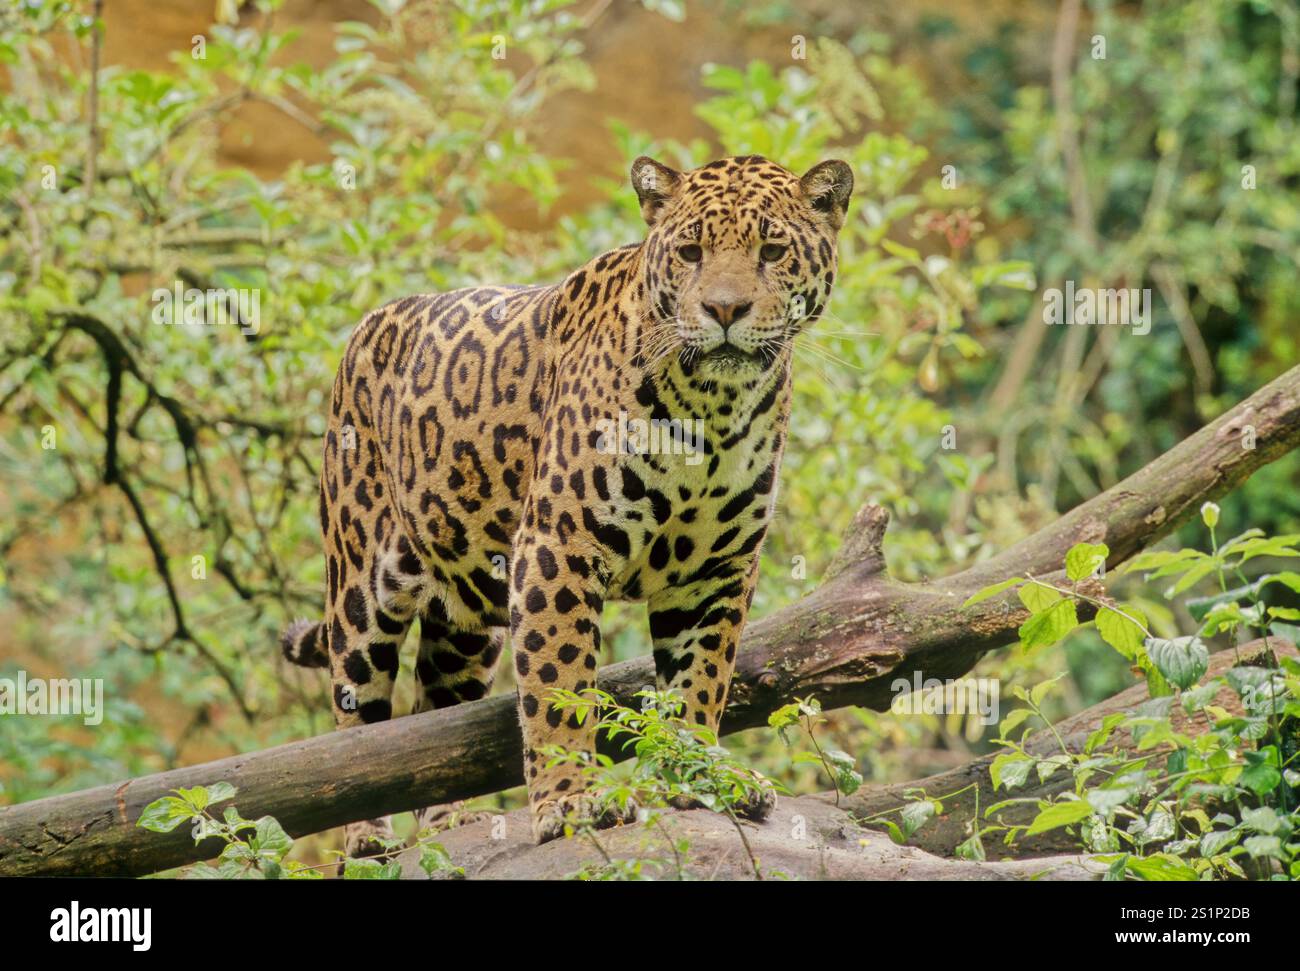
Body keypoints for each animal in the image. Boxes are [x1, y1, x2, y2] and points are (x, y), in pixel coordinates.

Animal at [281, 153, 854, 848]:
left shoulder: (716, 572)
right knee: (359, 725)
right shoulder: (559, 544)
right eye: (690, 252)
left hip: (467, 613)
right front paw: (572, 802)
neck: (713, 410)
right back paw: (369, 839)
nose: (724, 309)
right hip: (361, 584)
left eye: (772, 251)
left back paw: (455, 824)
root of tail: (369, 323)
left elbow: (701, 681)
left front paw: (703, 780)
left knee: (435, 705)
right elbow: (560, 681)